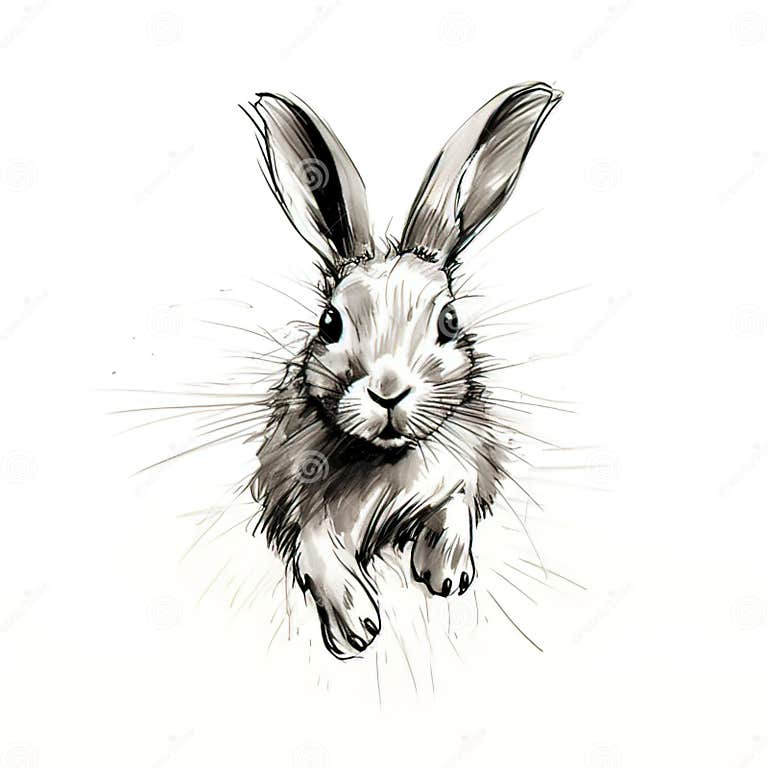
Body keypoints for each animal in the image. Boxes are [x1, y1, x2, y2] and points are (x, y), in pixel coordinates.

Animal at [239, 82, 562, 659]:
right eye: (329, 323)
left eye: (450, 320)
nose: (388, 392)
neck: (389, 458)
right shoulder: (302, 507)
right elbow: (318, 551)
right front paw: (355, 625)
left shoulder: (464, 473)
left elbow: (456, 509)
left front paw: (445, 573)